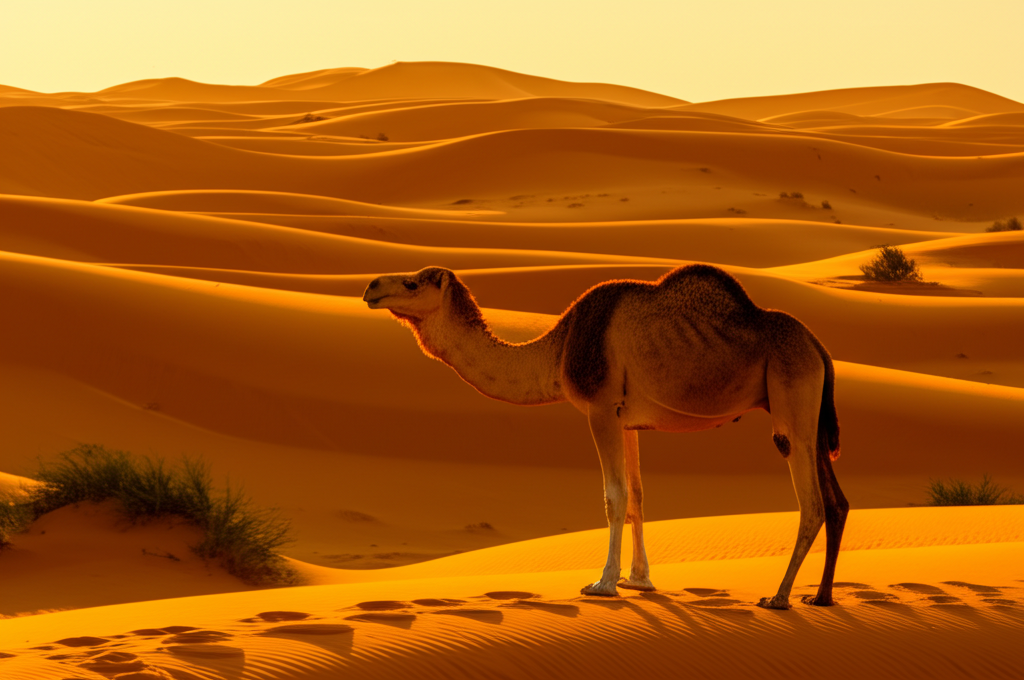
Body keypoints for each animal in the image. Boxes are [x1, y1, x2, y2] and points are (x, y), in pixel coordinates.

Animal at [363, 264, 847, 609]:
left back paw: (779, 597)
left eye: (411, 283)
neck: (559, 350)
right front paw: (640, 580)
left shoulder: (599, 407)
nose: (370, 287)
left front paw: (603, 583)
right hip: (811, 411)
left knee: (811, 502)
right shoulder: (626, 418)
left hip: (791, 398)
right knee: (836, 501)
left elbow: (613, 495)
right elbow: (637, 496)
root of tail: (819, 346)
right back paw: (820, 597)